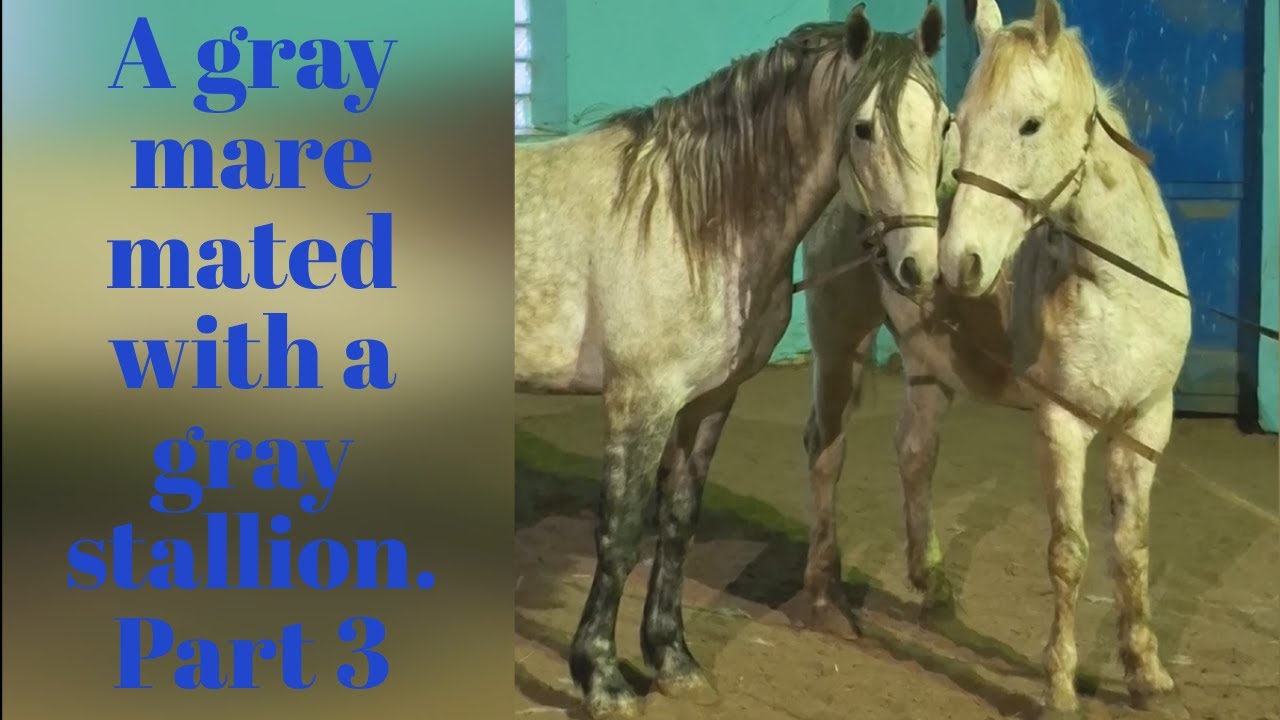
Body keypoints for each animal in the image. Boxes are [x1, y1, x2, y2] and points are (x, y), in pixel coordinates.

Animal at [514, 3, 950, 717]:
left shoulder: (710, 399)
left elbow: (678, 520)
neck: (692, 221)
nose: (920, 269)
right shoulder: (641, 399)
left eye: (943, 123)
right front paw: (602, 677)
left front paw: (672, 659)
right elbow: (622, 529)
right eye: (862, 129)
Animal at [925, 0, 1189, 716]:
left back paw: (927, 583)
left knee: (911, 460)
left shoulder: (1146, 422)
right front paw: (1060, 683)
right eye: (961, 122)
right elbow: (1068, 553)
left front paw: (1145, 671)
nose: (957, 263)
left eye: (1030, 124)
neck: (1122, 288)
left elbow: (1132, 547)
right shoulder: (1061, 424)